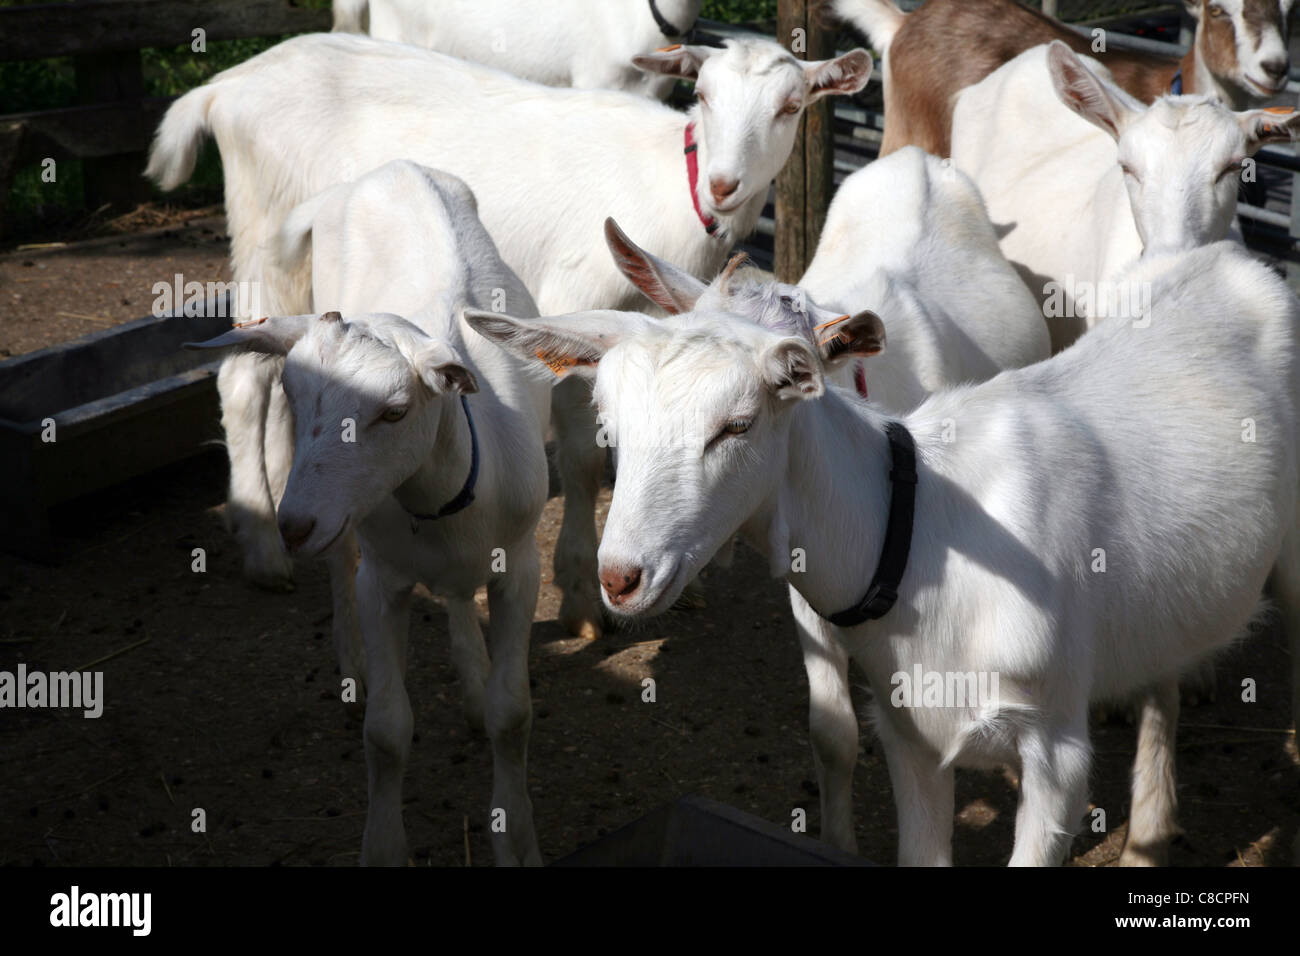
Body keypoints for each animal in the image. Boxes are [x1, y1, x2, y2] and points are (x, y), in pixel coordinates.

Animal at [145, 31, 872, 639]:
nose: (724, 185)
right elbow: (583, 458)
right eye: (703, 95)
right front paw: (581, 595)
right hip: (265, 237)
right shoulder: (575, 302)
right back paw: (265, 549)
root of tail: (229, 83)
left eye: (792, 106)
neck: (672, 187)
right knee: (243, 375)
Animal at [188, 161, 550, 866]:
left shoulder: (520, 565)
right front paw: (383, 846)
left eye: (395, 411)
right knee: (342, 562)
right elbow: (386, 732)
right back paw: (351, 658)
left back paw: (470, 678)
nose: (293, 524)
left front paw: (517, 836)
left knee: (458, 597)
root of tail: (394, 168)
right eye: (294, 389)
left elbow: (512, 716)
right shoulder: (383, 579)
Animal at [467, 235, 1300, 867]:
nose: (621, 576)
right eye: (610, 419)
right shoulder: (910, 736)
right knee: (1167, 668)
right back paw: (1151, 839)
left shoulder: (1056, 746)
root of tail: (1235, 256)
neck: (922, 532)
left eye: (737, 425)